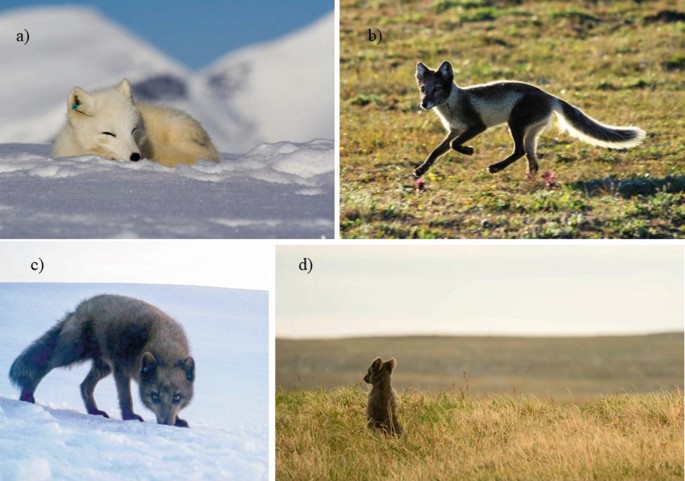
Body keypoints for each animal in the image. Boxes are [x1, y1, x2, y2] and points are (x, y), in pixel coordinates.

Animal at [9, 294, 195, 428]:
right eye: (154, 396)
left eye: (177, 397)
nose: (166, 423)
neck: (165, 344)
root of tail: (80, 307)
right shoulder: (121, 370)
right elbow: (126, 398)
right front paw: (130, 417)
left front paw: (178, 420)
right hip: (70, 354)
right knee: (44, 365)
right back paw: (26, 395)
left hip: (103, 367)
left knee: (84, 386)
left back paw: (94, 411)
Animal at [414, 61, 646, 178]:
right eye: (423, 89)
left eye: (437, 89)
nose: (424, 104)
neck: (452, 105)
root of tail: (550, 96)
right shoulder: (454, 130)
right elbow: (437, 151)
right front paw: (421, 170)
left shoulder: (477, 126)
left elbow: (454, 145)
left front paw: (469, 151)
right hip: (530, 133)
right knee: (532, 158)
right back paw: (530, 180)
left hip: (515, 125)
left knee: (520, 151)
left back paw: (496, 168)